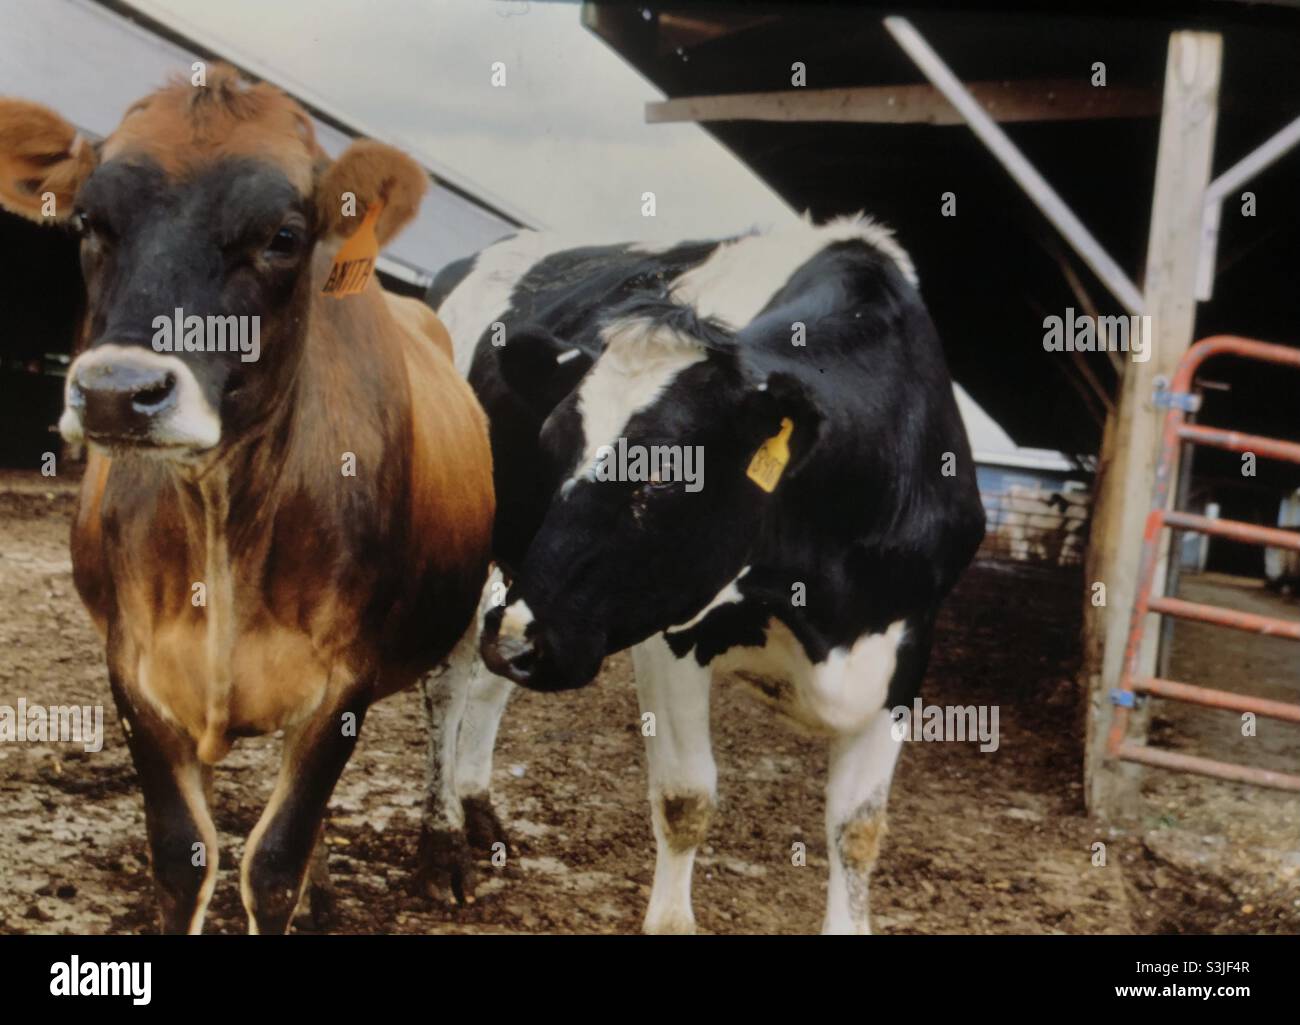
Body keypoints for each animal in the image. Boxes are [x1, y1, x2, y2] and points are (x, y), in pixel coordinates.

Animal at [0, 66, 495, 934]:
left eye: (284, 237)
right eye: (89, 221)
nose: (117, 392)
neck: (221, 515)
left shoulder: (346, 679)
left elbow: (270, 865)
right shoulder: (132, 666)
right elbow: (182, 857)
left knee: (448, 697)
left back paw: (443, 854)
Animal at [423, 218, 986, 933]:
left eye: (667, 476)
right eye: (552, 447)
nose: (524, 639)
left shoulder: (904, 655)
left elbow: (857, 832)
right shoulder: (671, 635)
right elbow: (686, 798)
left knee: (491, 681)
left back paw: (478, 810)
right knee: (449, 682)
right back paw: (441, 847)